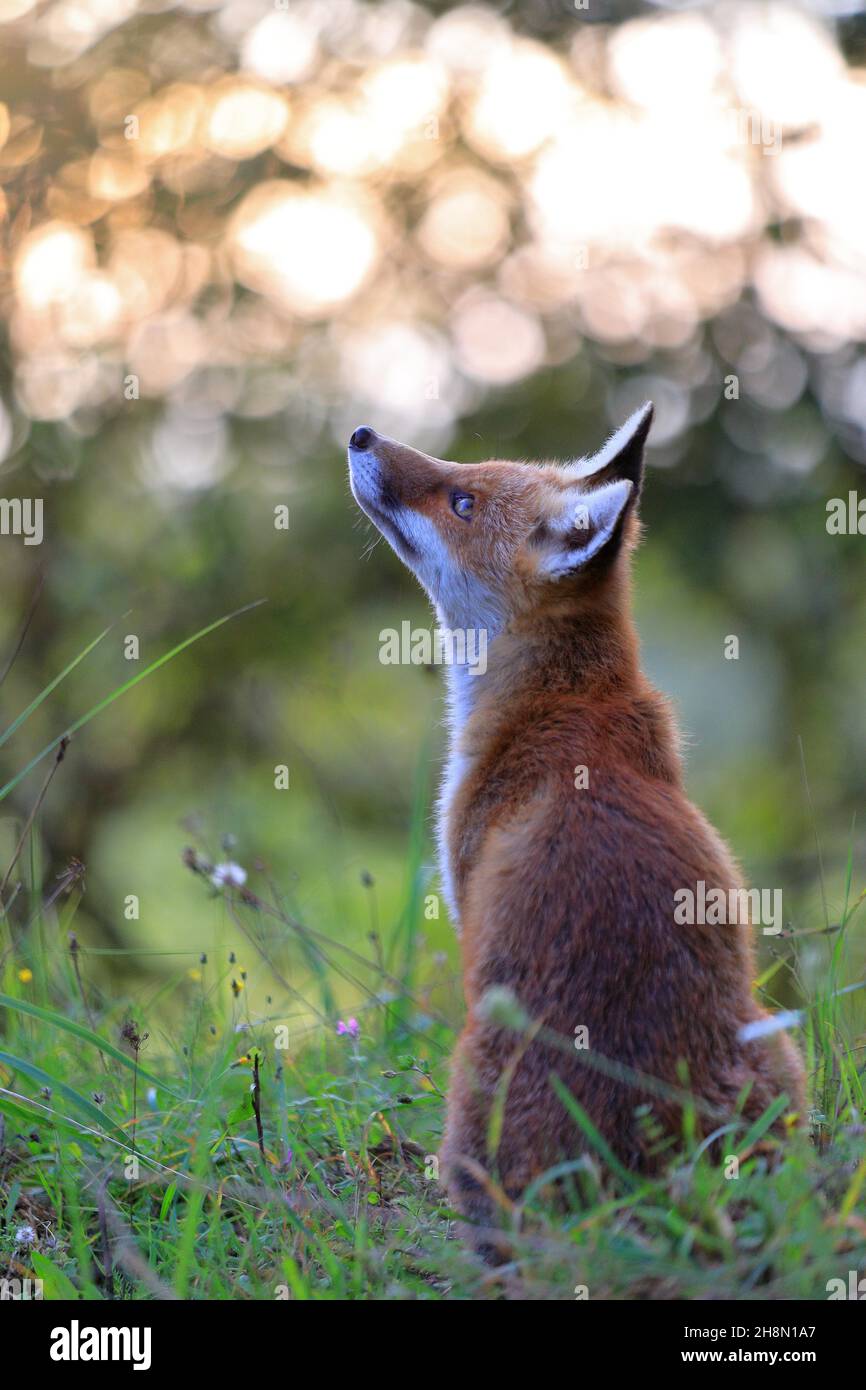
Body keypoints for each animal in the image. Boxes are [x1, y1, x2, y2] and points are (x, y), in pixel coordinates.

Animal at [347, 405, 805, 1257]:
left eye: (462, 501)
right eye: (466, 475)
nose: (361, 434)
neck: (562, 703)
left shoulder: (467, 900)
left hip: (474, 1083)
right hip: (774, 1047)